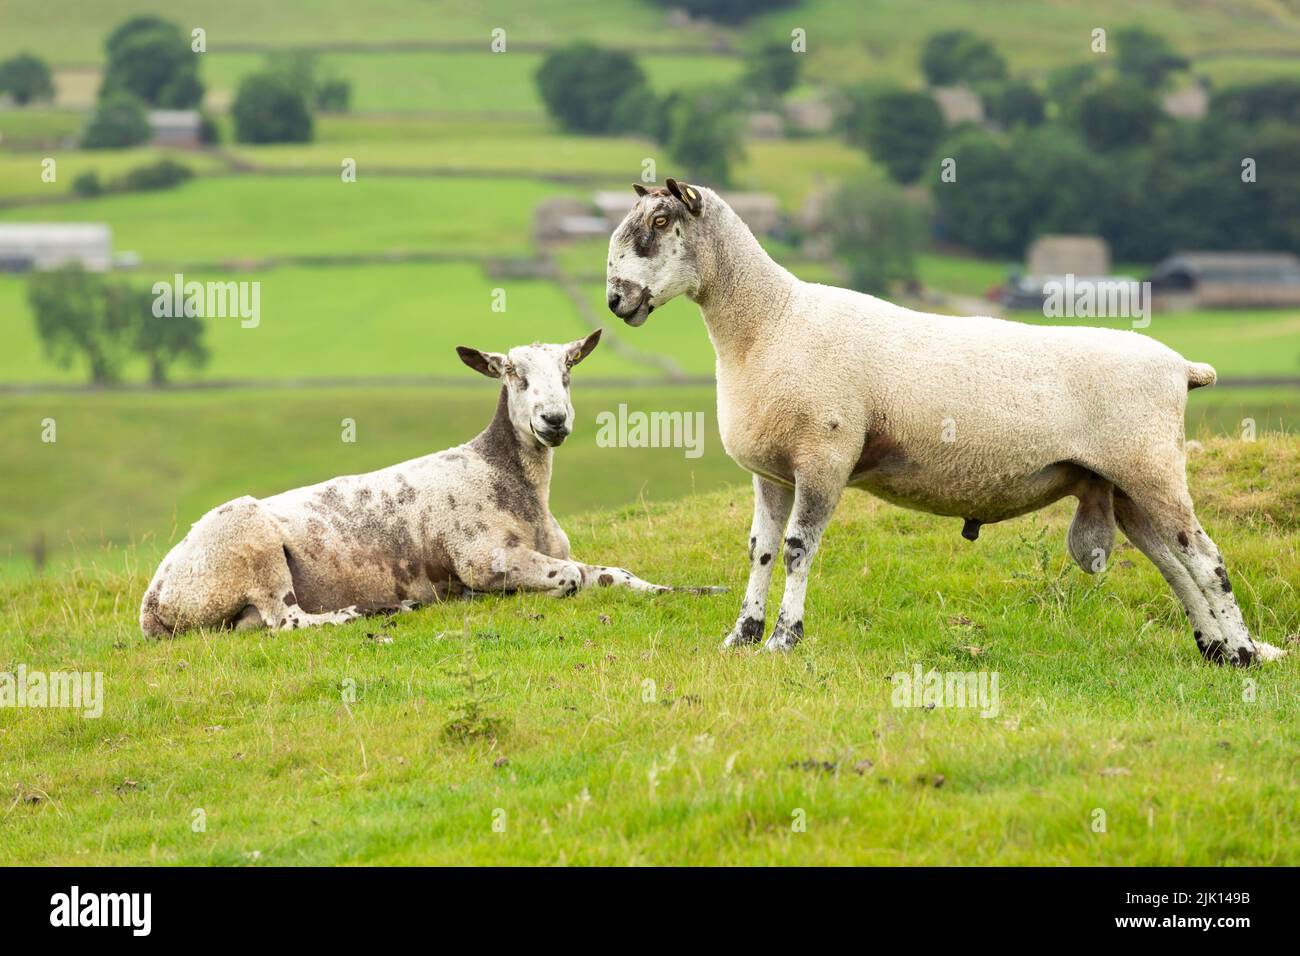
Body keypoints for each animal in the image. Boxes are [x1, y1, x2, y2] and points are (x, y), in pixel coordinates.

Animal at [139, 331, 715, 637]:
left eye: (569, 372)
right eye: (514, 375)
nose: (553, 420)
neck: (512, 485)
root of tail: (154, 598)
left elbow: (615, 574)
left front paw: (690, 590)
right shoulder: (481, 555)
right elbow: (570, 579)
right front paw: (474, 597)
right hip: (248, 546)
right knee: (289, 620)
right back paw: (367, 612)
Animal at [605, 179, 1285, 665]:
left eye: (661, 223)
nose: (615, 300)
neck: (766, 322)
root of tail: (1180, 367)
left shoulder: (823, 457)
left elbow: (798, 550)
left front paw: (783, 640)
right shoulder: (772, 472)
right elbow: (762, 551)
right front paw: (741, 637)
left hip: (1152, 467)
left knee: (1206, 559)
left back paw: (1242, 653)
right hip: (1123, 486)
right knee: (1176, 564)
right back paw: (1220, 651)